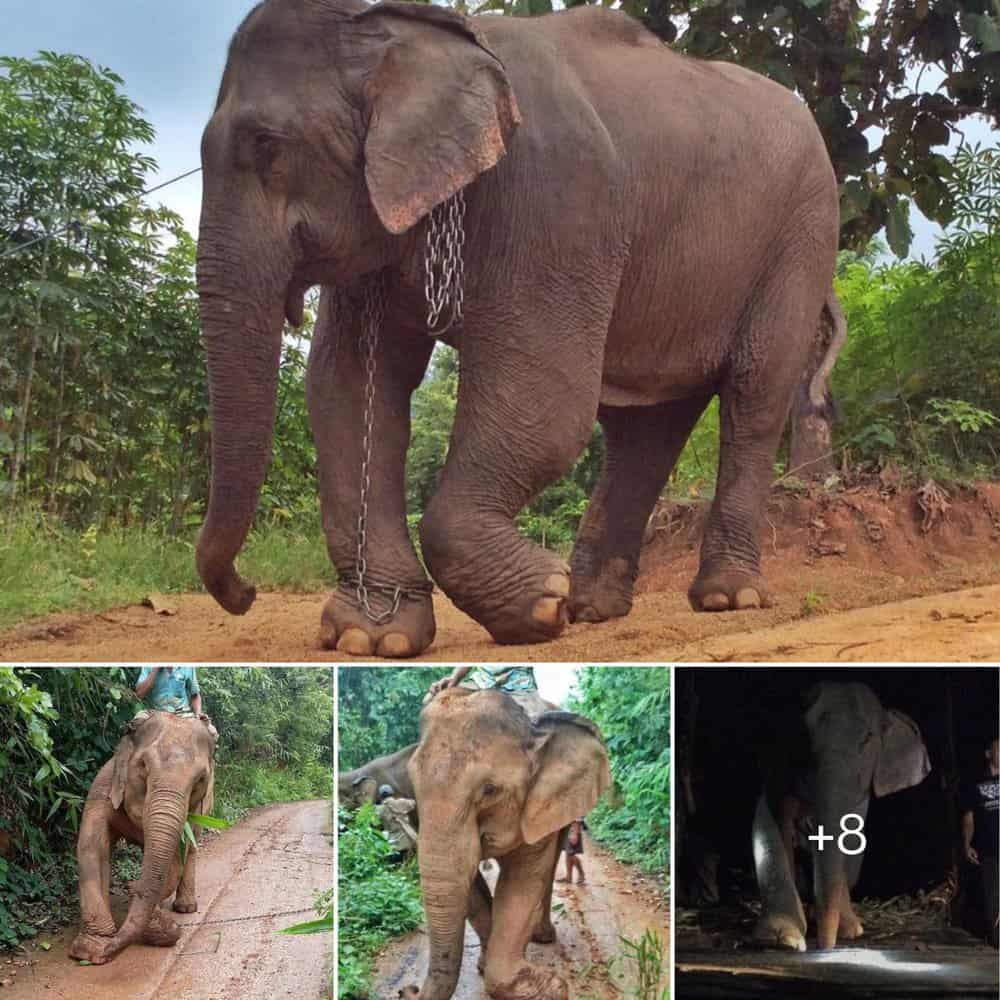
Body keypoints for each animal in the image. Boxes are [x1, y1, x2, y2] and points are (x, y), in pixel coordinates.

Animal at [69, 712, 217, 965]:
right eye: (143, 766)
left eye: (200, 779)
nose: (130, 886)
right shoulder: (103, 786)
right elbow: (92, 848)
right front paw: (91, 951)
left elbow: (174, 858)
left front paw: (155, 924)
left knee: (192, 848)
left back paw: (185, 908)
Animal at [195, 0, 844, 659]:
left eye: (267, 145)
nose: (244, 592)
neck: (411, 29)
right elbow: (348, 388)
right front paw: (374, 636)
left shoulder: (559, 199)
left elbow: (545, 400)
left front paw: (539, 606)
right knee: (645, 426)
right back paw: (593, 608)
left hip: (803, 237)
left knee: (754, 394)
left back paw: (725, 598)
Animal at [400, 687, 610, 999]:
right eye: (412, 784)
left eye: (490, 790)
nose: (408, 990)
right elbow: (469, 882)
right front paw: (487, 966)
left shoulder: (539, 804)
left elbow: (521, 881)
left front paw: (552, 988)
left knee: (547, 870)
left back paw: (542, 936)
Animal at [752, 682, 930, 952]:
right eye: (803, 737)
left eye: (867, 740)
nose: (824, 948)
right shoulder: (779, 764)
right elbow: (767, 820)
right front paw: (783, 940)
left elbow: (851, 837)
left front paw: (849, 931)